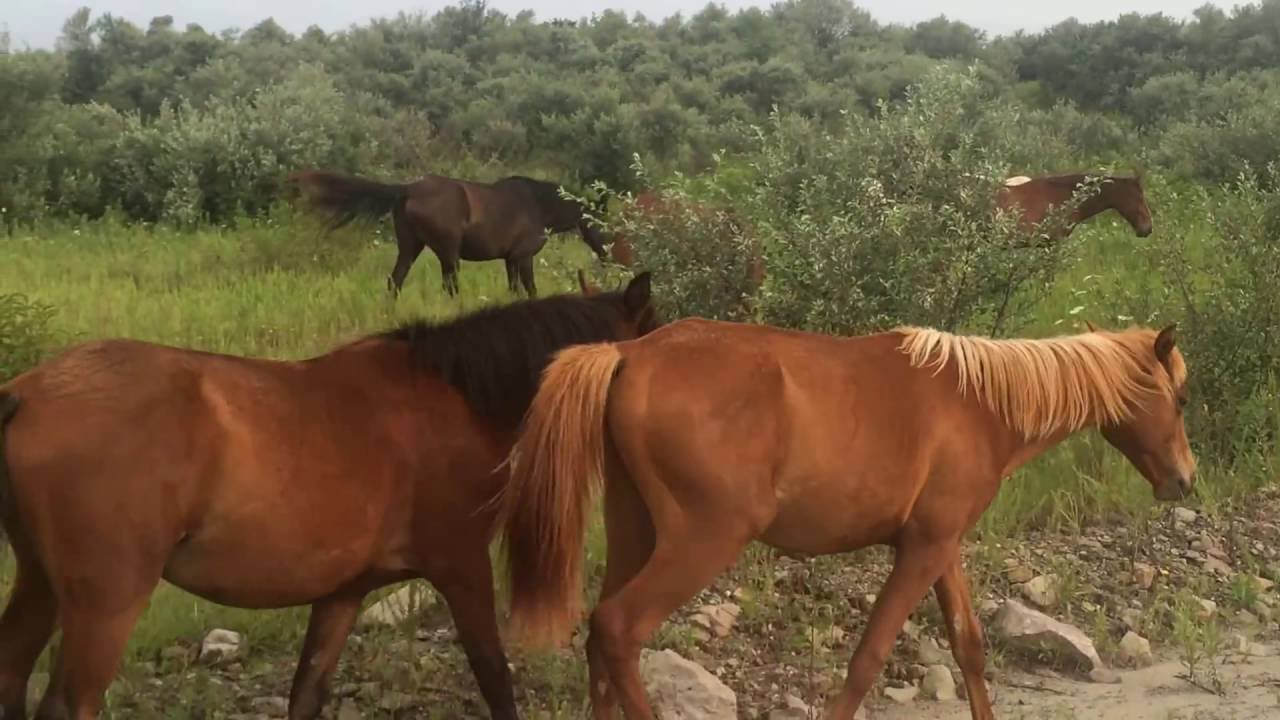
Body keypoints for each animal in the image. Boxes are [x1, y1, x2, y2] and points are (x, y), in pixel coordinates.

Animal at [0, 272, 659, 720]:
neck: (455, 396)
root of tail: (27, 392)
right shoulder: (462, 567)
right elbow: (495, 678)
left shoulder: (344, 591)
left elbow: (308, 692)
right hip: (107, 603)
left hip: (42, 585)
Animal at [289, 169, 610, 298]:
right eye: (602, 221)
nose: (607, 255)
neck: (540, 205)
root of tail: (408, 189)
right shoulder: (523, 256)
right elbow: (530, 289)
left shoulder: (509, 260)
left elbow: (515, 289)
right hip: (448, 252)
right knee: (450, 286)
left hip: (411, 246)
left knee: (395, 282)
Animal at [497, 318, 1195, 720]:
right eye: (1181, 396)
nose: (1185, 479)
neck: (982, 403)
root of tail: (628, 353)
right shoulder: (920, 552)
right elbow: (868, 658)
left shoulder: (941, 546)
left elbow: (969, 646)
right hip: (704, 539)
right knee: (618, 628)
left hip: (634, 533)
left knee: (599, 638)